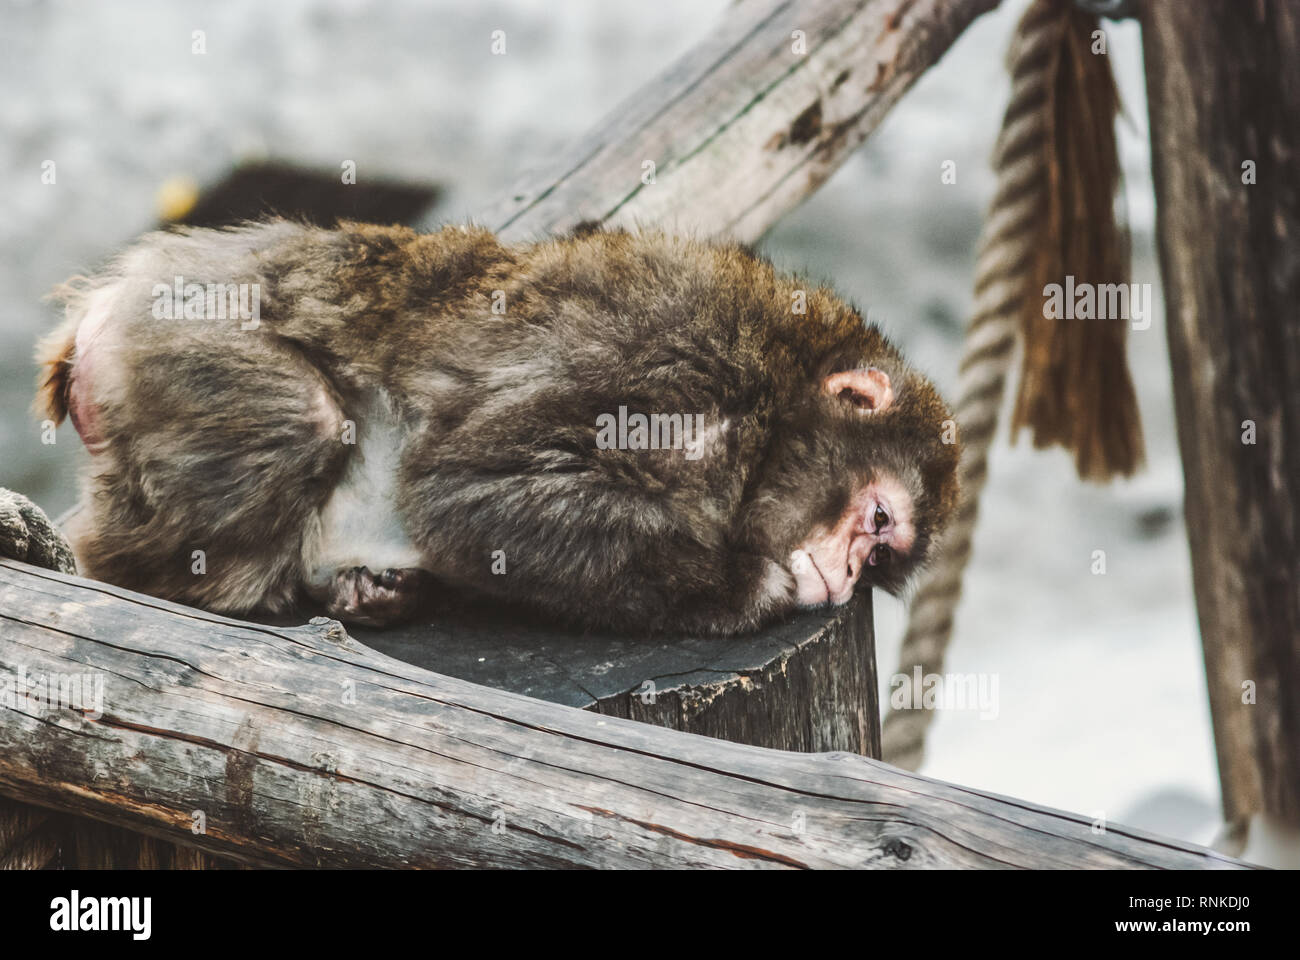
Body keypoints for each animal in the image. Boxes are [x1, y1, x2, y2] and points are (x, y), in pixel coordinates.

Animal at [35, 219, 959, 635]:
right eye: (878, 520)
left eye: (880, 559)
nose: (850, 572)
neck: (772, 399)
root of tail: (105, 303)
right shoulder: (671, 350)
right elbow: (468, 491)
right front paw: (751, 584)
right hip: (179, 335)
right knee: (303, 421)